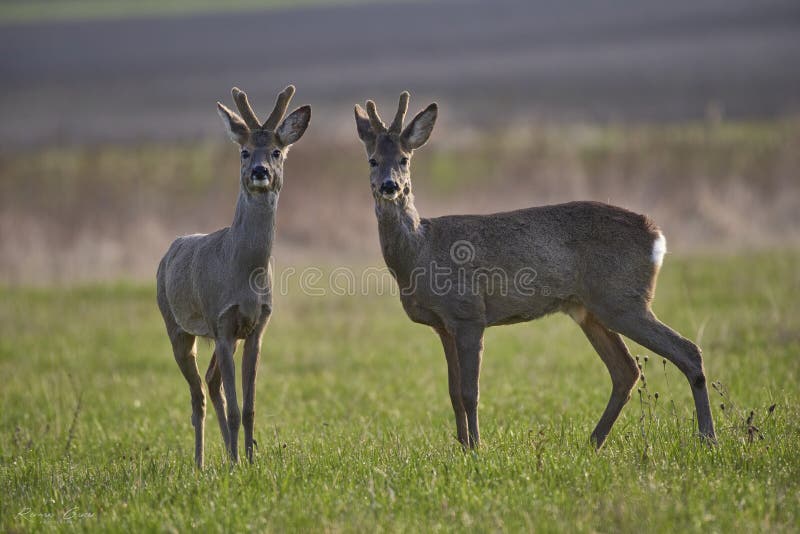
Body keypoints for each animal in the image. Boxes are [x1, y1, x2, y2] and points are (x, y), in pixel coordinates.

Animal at [157, 85, 310, 468]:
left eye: (276, 151)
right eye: (244, 151)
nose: (259, 170)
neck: (245, 274)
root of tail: (170, 249)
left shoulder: (255, 329)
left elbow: (250, 406)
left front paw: (250, 461)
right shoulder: (222, 322)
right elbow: (236, 408)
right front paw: (238, 463)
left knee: (211, 384)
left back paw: (226, 455)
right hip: (177, 327)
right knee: (197, 395)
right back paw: (200, 463)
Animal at [354, 91, 716, 450]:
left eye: (404, 159)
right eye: (372, 160)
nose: (389, 186)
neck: (421, 253)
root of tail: (657, 235)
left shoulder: (468, 313)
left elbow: (471, 393)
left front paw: (477, 449)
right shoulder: (443, 326)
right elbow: (454, 394)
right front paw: (463, 447)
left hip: (623, 300)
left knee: (688, 351)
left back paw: (707, 438)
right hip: (590, 310)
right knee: (626, 370)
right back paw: (593, 442)